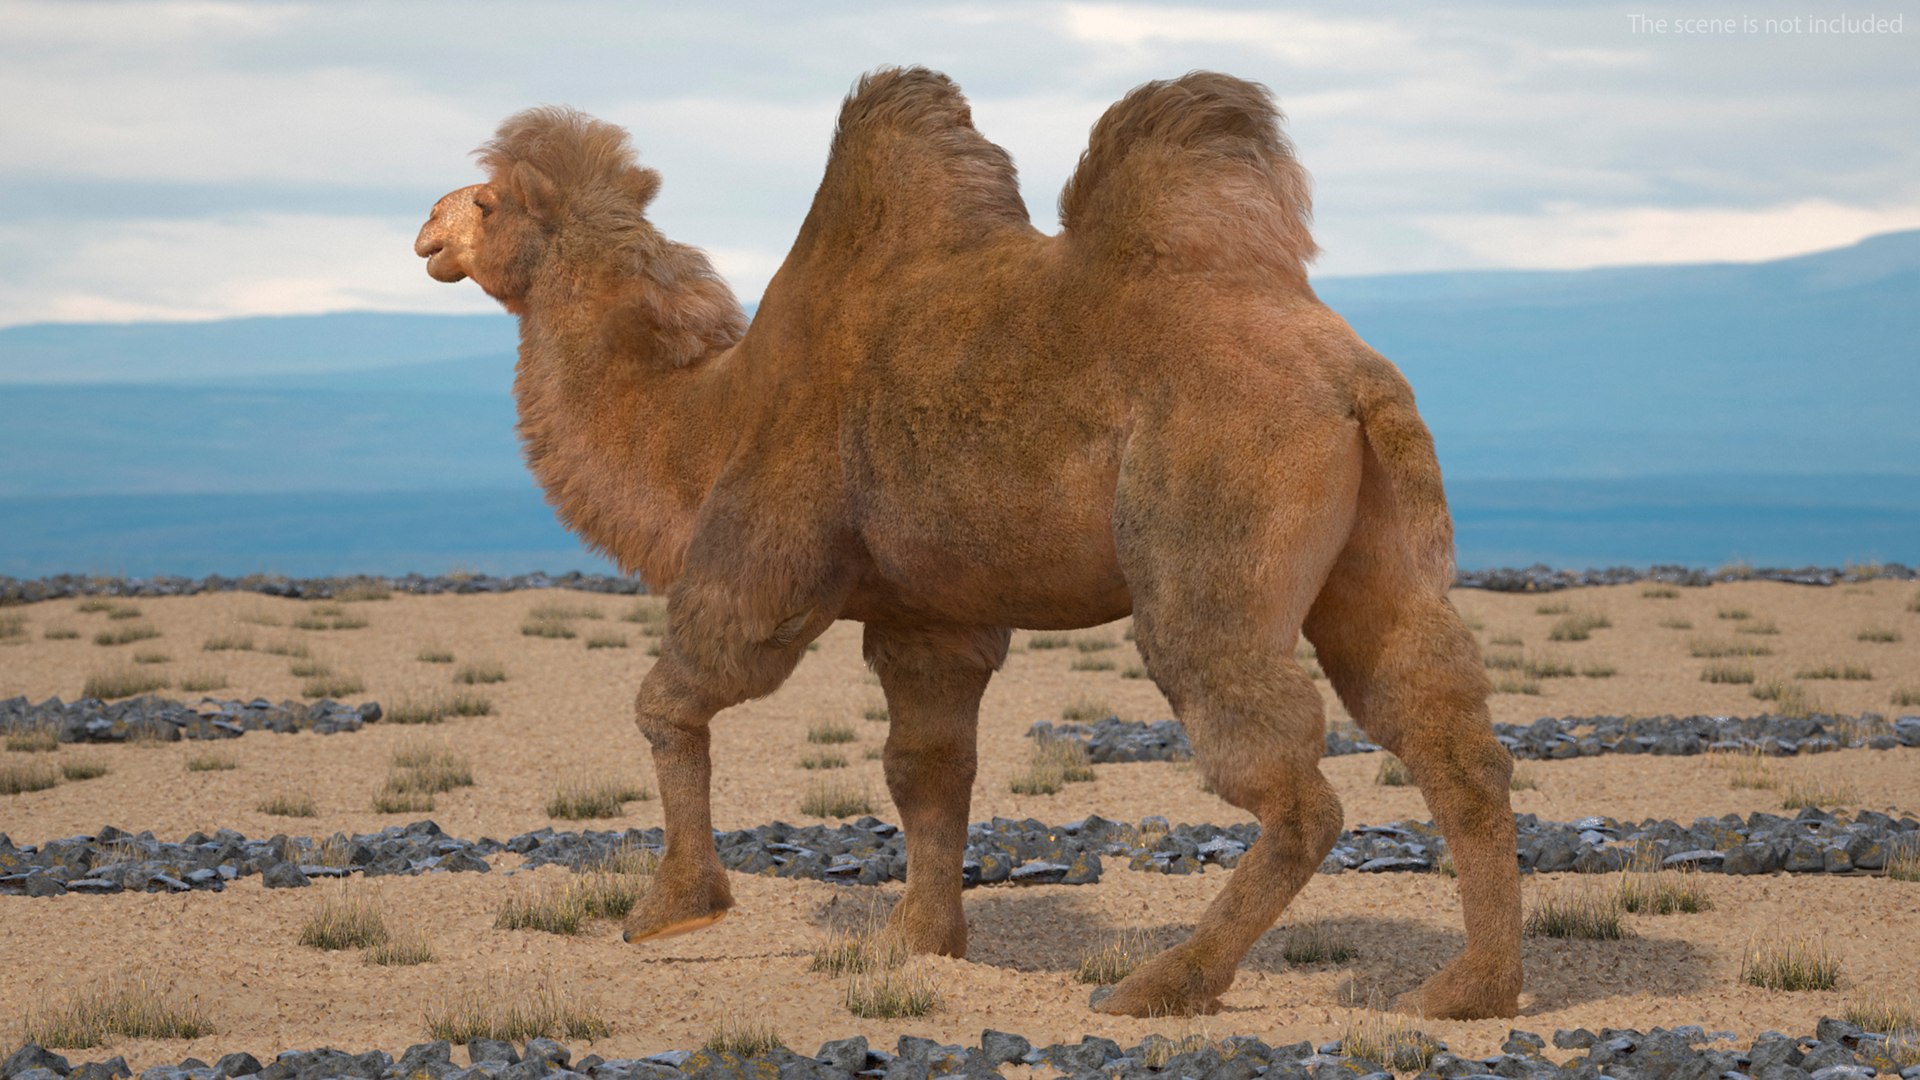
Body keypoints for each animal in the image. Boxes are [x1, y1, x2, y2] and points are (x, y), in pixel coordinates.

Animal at [414, 67, 1522, 1020]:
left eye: (489, 203)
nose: (424, 226)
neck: (706, 418)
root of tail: (1353, 379)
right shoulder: (929, 614)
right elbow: (927, 768)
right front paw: (918, 939)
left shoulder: (764, 558)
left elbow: (673, 698)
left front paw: (674, 908)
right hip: (1380, 544)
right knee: (1444, 725)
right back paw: (1470, 989)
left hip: (1215, 508)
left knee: (1285, 769)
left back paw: (1162, 982)